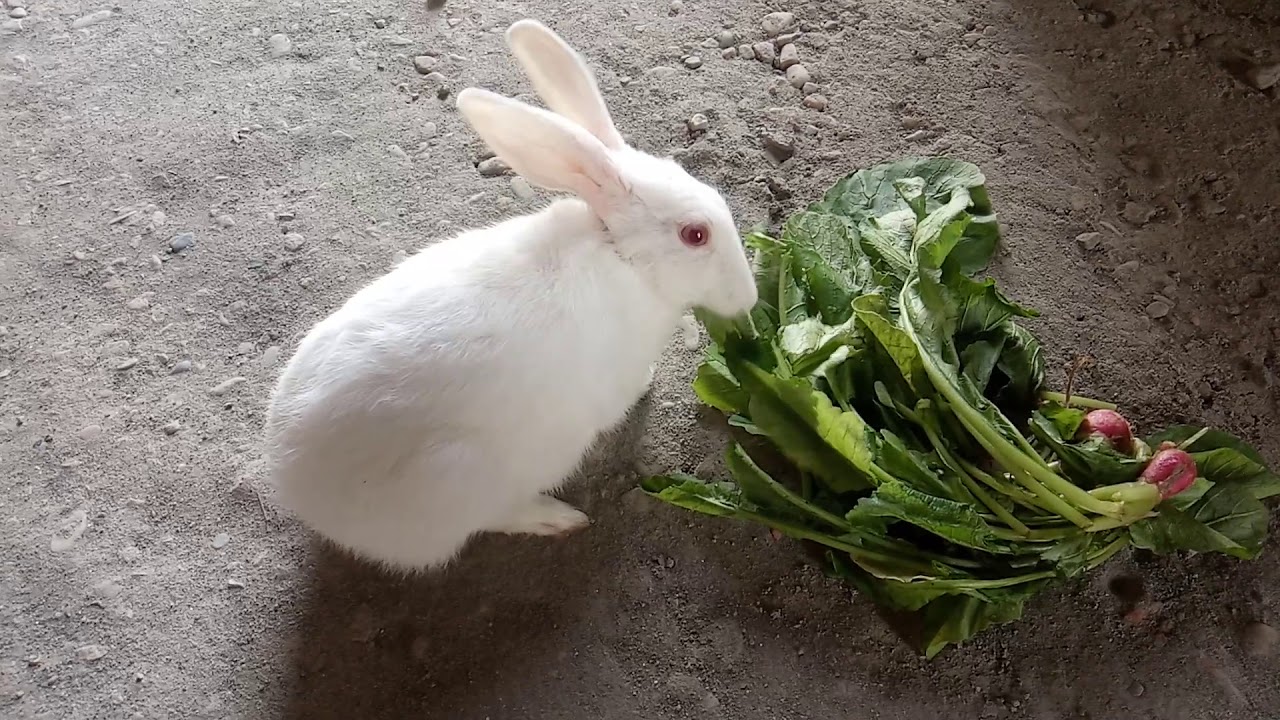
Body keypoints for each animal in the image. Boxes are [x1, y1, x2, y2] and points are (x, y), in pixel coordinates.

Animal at [262, 18, 758, 572]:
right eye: (695, 235)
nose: (749, 297)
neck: (621, 253)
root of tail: (305, 497)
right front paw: (649, 383)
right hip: (464, 475)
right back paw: (558, 518)